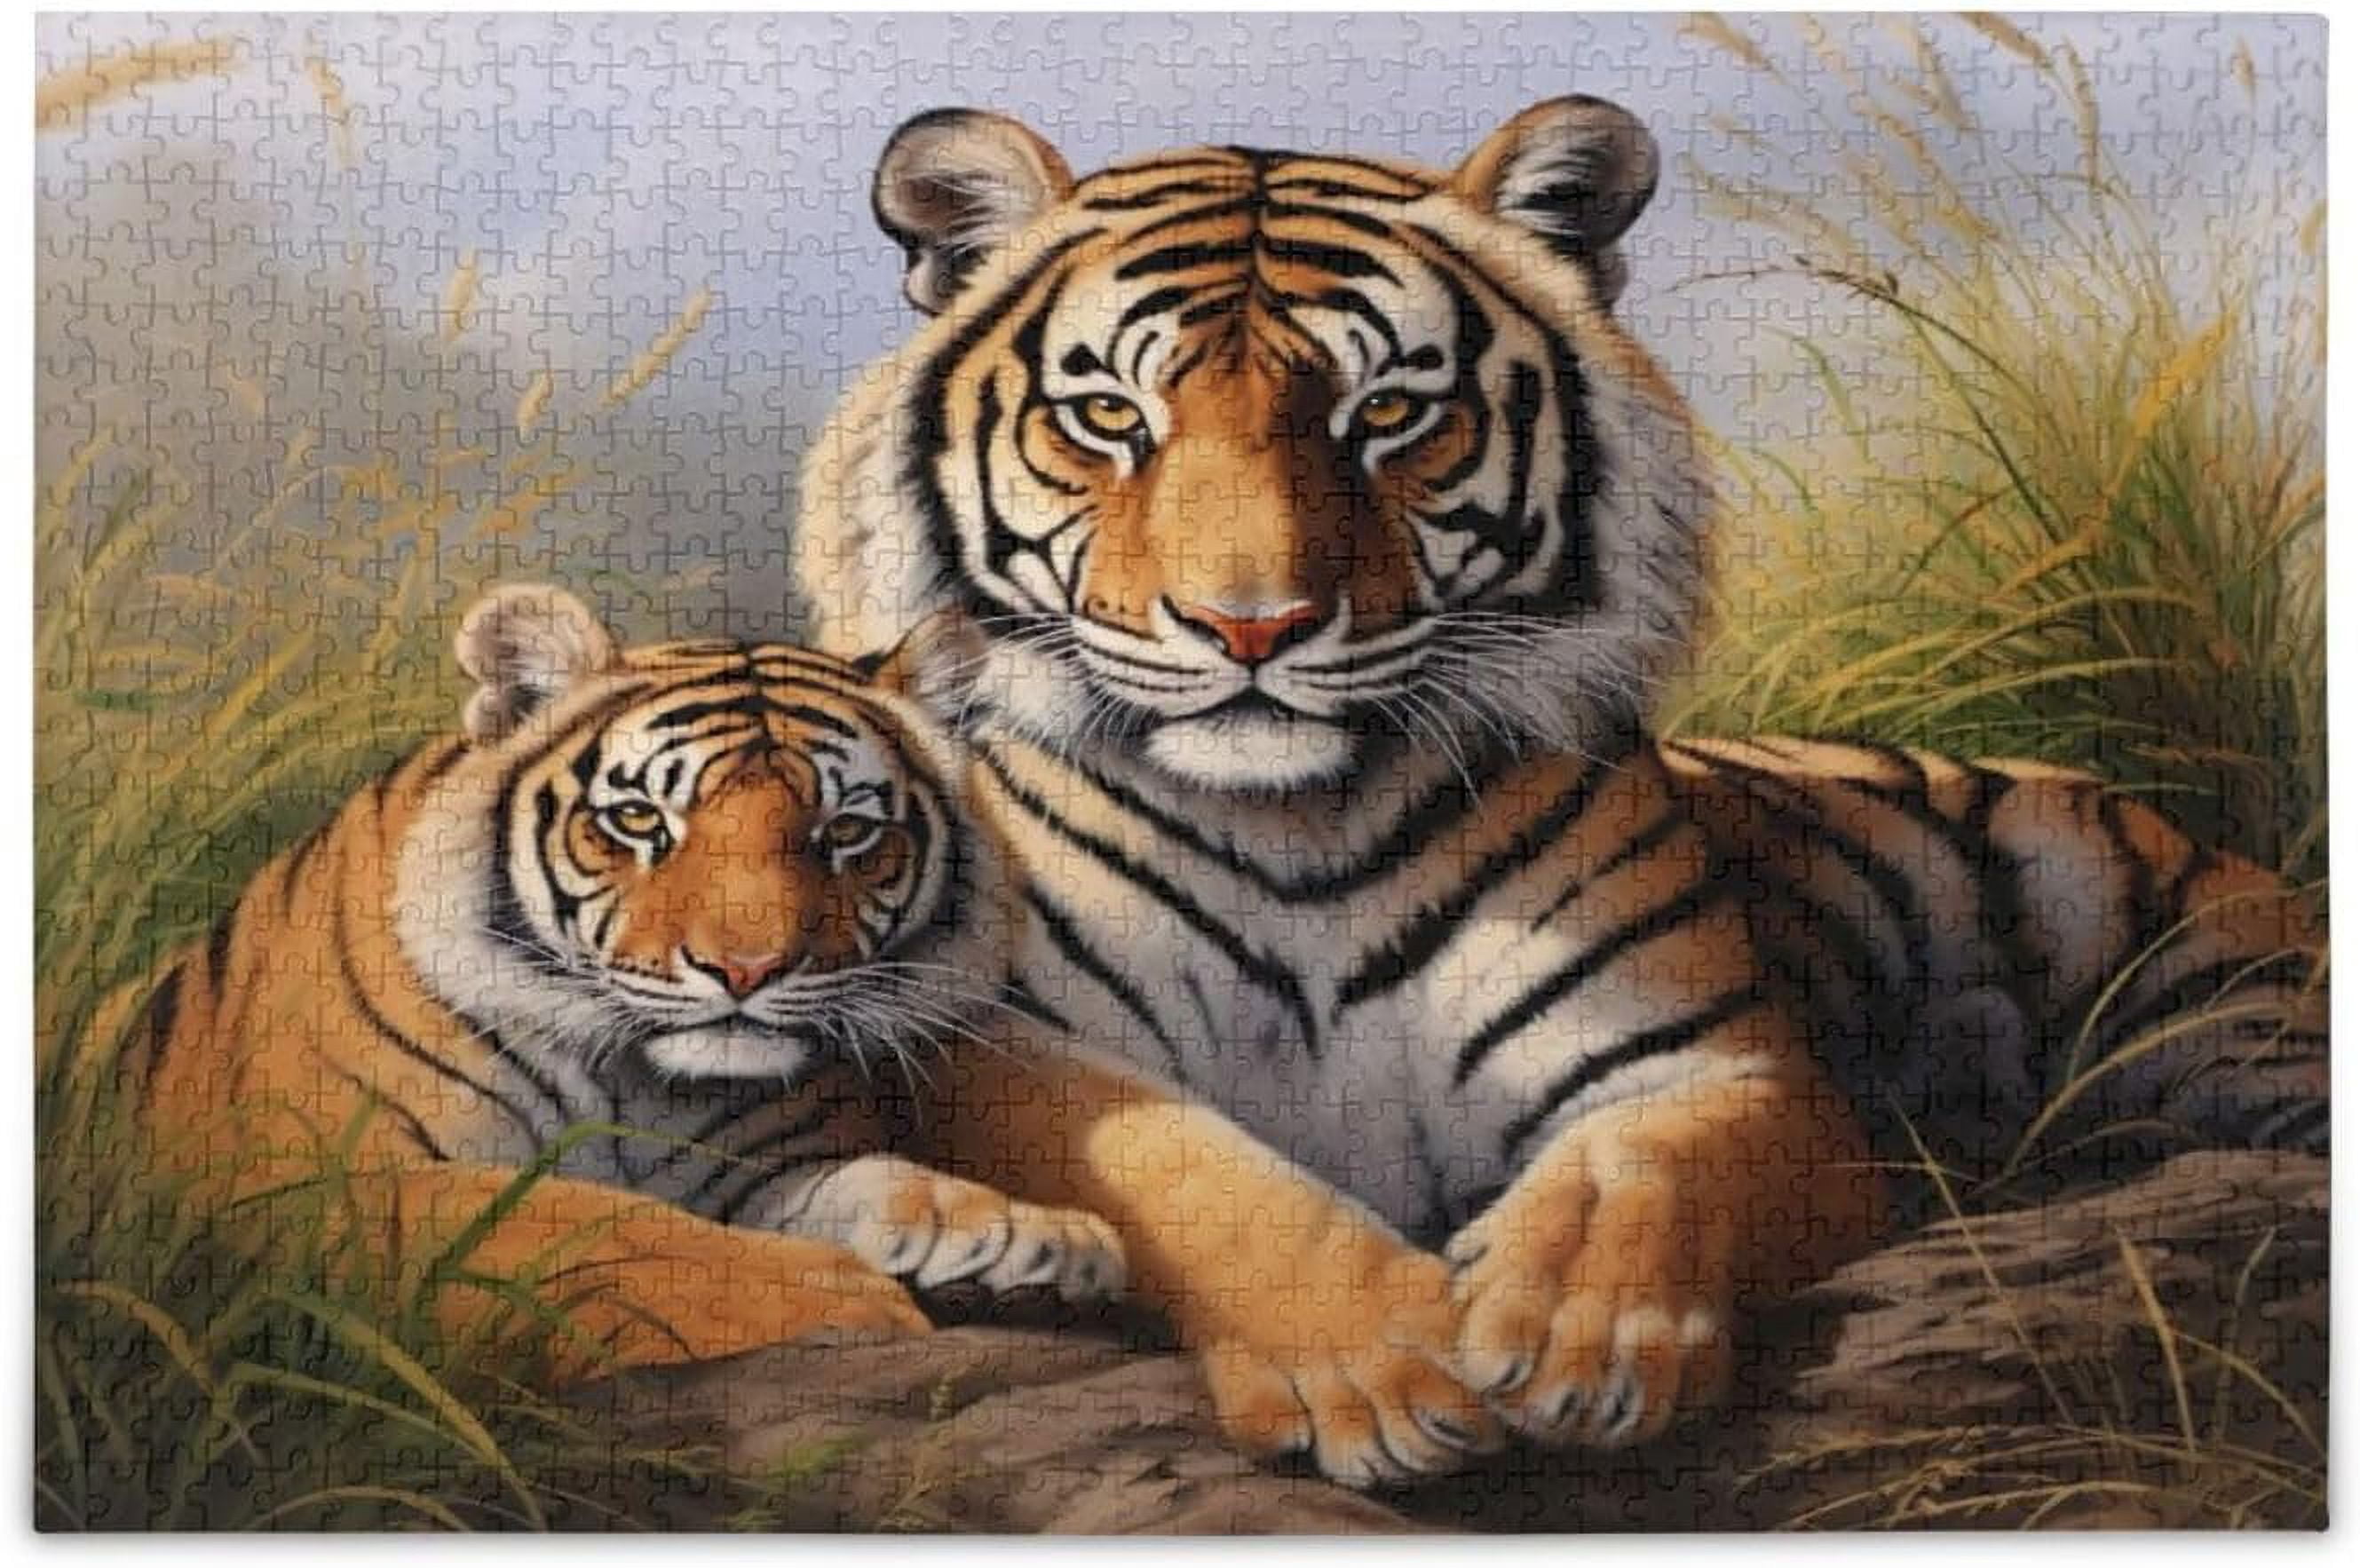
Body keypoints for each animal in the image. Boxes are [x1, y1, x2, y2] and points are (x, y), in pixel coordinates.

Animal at [97, 582, 1501, 1460]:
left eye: (844, 832)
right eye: (638, 822)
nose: (746, 965)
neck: (639, 1077)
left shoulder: (763, 1160)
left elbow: (857, 1178)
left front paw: (1019, 1234)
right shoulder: (302, 1183)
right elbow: (589, 1226)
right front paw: (858, 1301)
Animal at [789, 96, 2329, 1480]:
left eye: (1389, 412)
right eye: (1109, 414)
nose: (1250, 626)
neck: (1297, 823)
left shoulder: (1714, 1059)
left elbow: (1641, 1164)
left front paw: (1575, 1335)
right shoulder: (995, 1046)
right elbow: (1196, 1170)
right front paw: (1384, 1365)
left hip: (2216, 978)